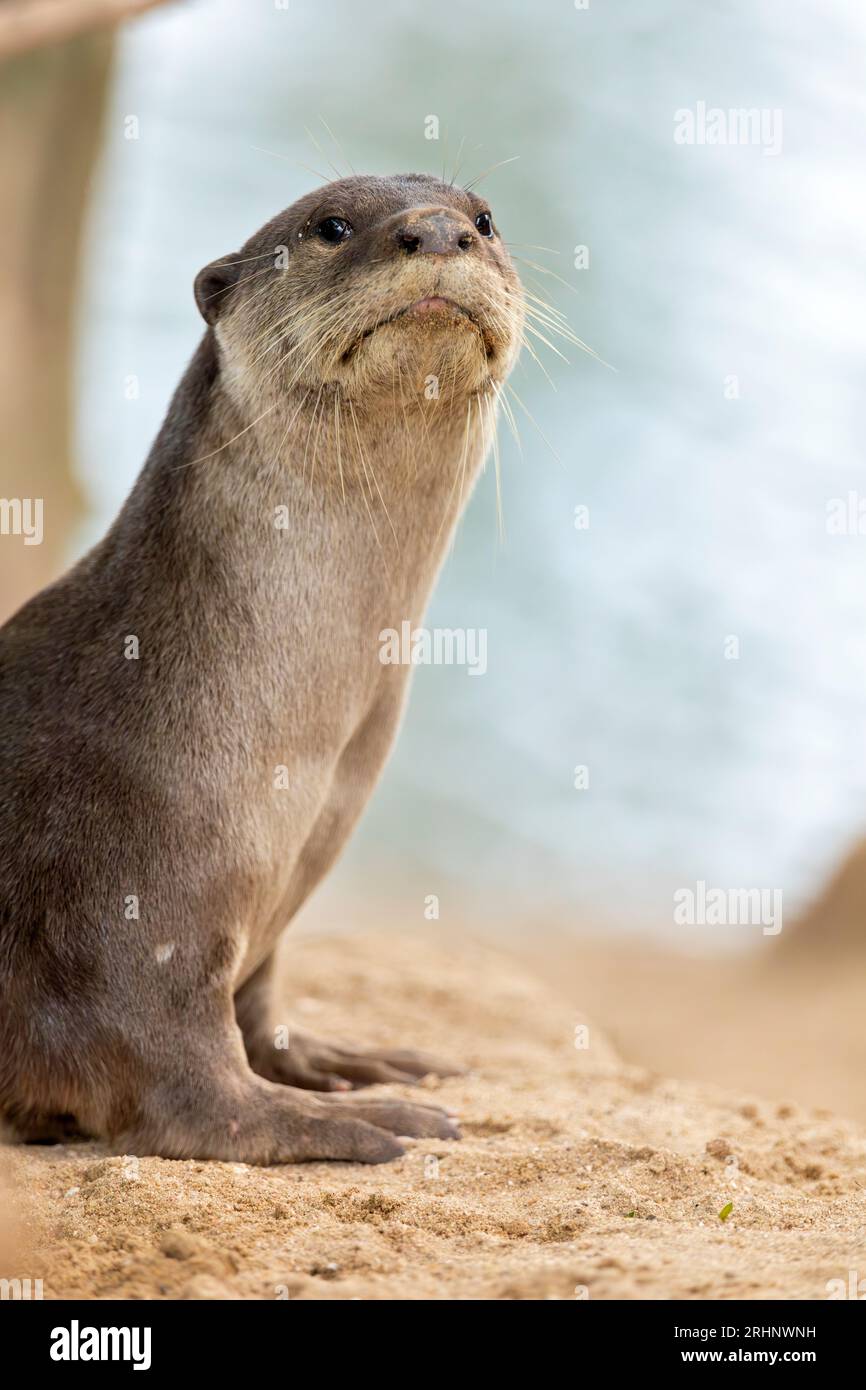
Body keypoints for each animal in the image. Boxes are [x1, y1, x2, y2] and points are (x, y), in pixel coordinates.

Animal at [0, 173, 524, 1164]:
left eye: (485, 219)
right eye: (332, 227)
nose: (439, 232)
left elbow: (260, 1005)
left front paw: (344, 1062)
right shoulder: (122, 915)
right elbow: (191, 1091)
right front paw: (348, 1120)